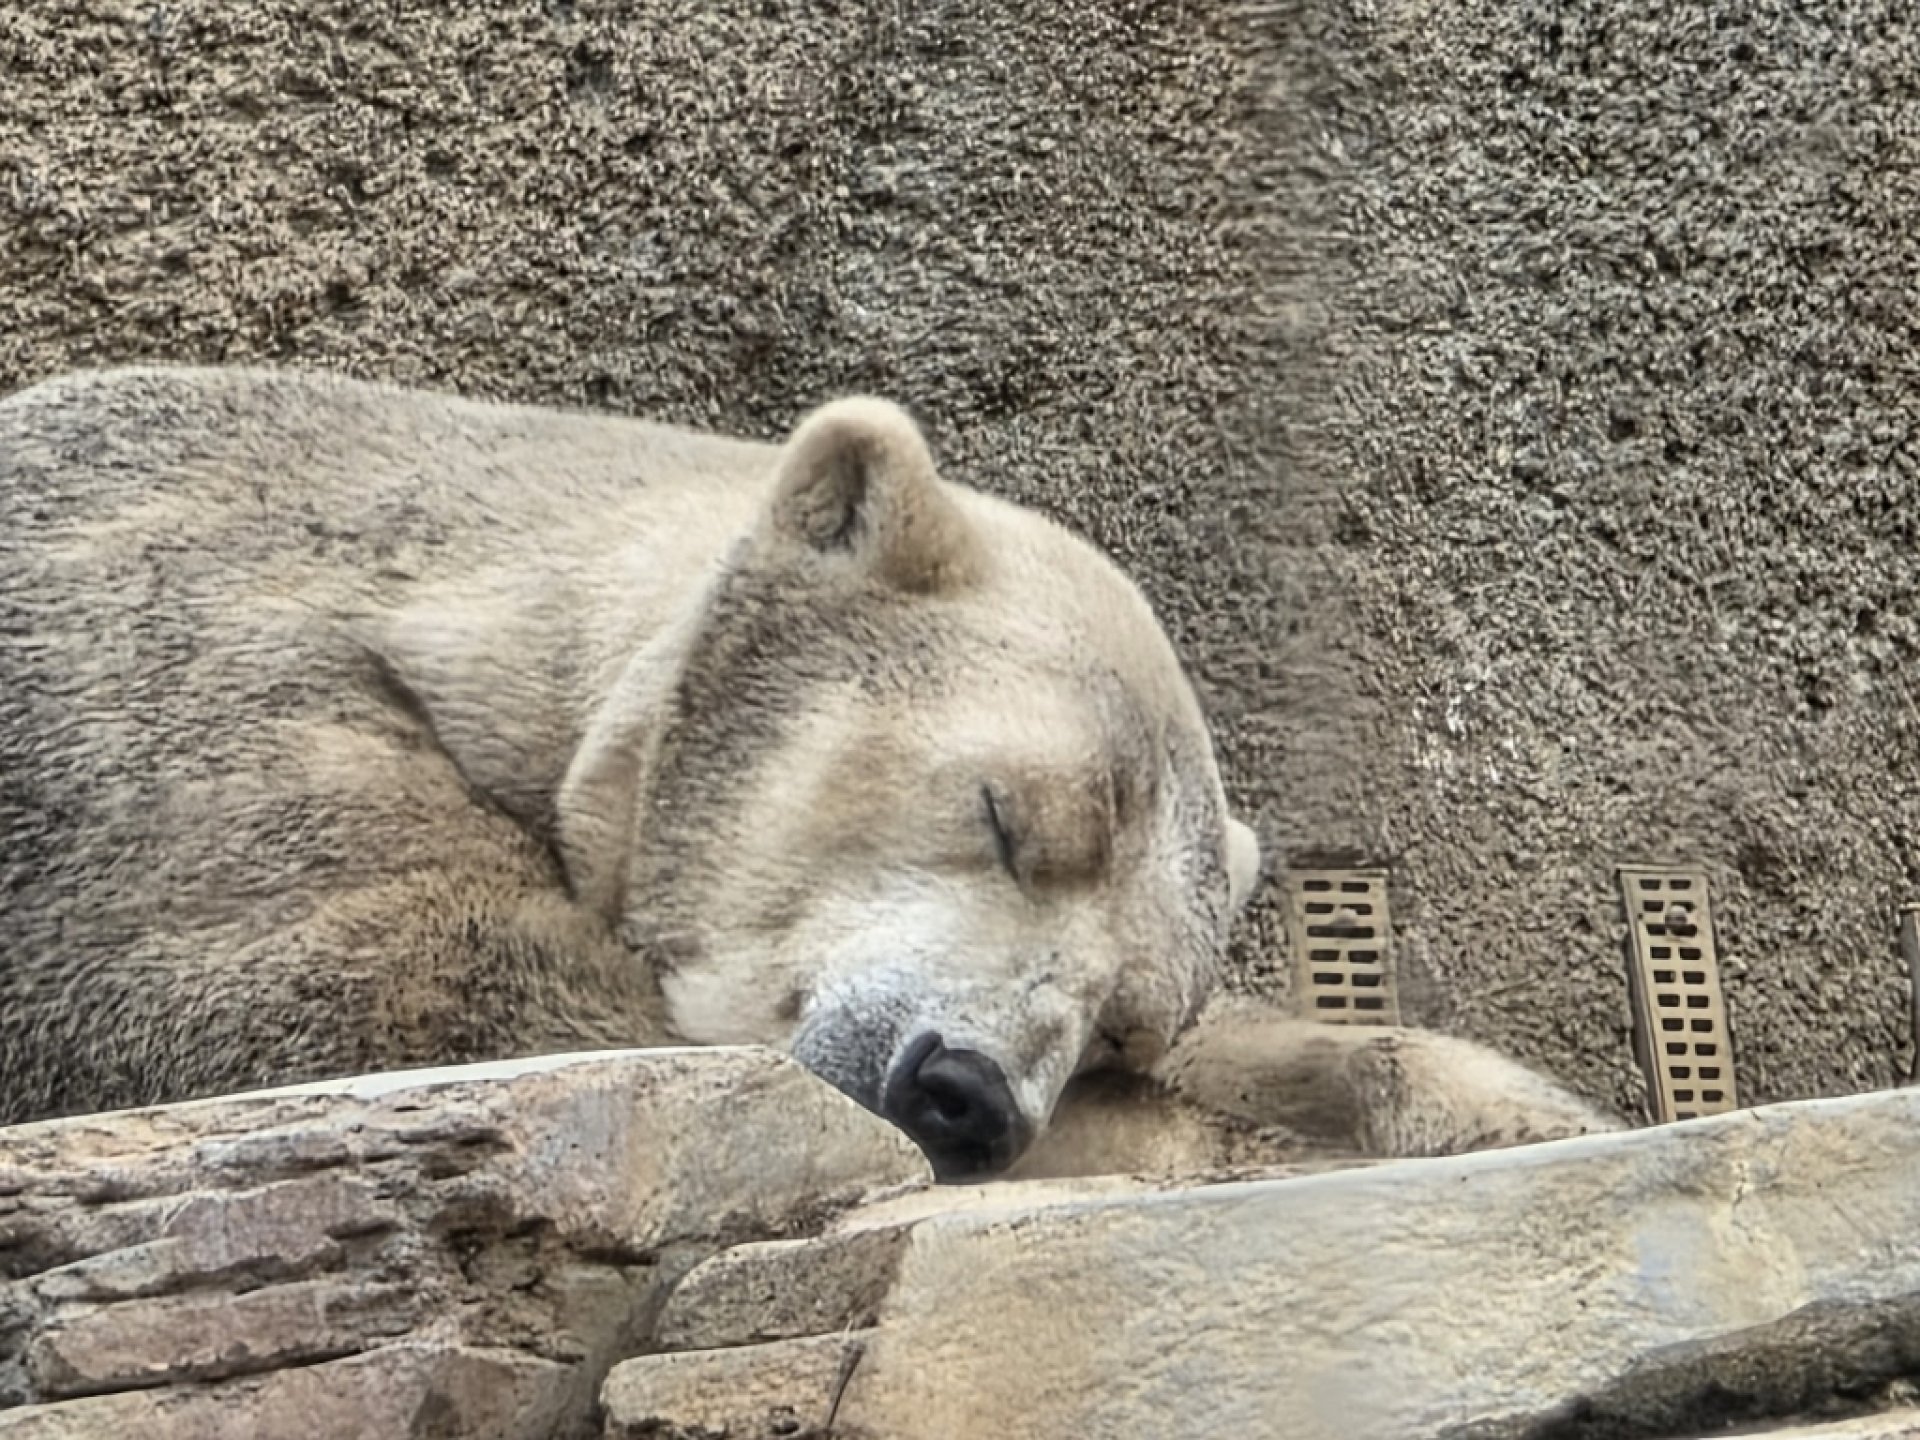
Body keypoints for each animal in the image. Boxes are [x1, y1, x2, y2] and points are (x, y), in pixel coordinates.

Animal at [0, 366, 1617, 1181]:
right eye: (1008, 818)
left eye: (1125, 1021)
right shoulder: (179, 711)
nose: (967, 1092)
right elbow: (411, 985)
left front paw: (1497, 1097)